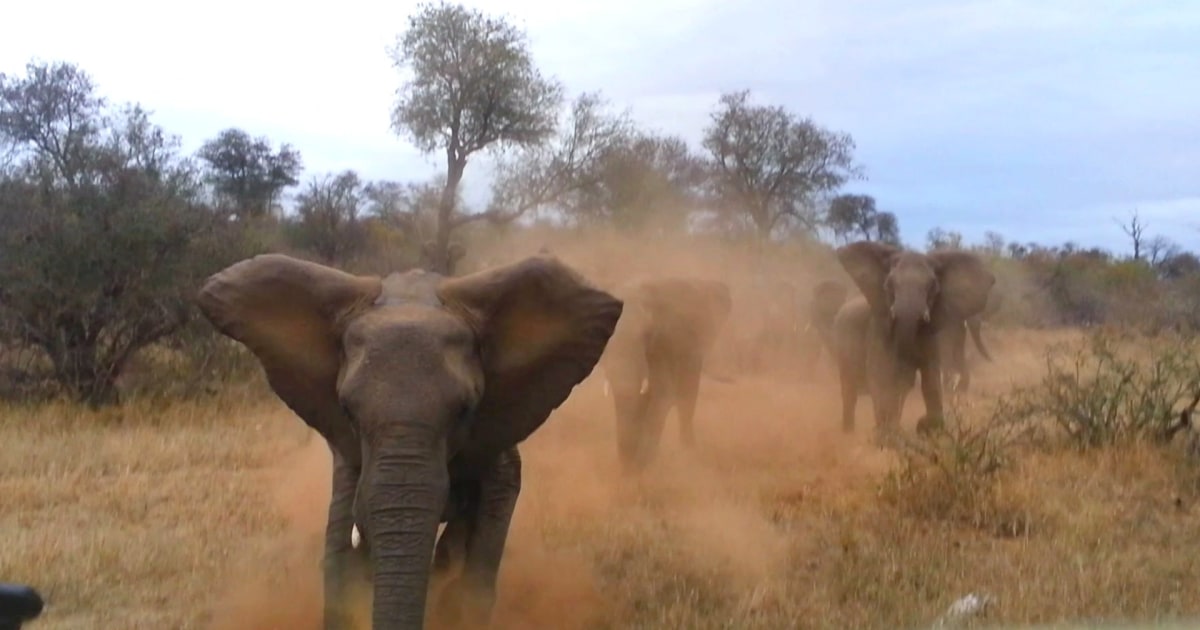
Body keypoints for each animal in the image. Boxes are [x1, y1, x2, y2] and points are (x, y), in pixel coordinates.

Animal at [599, 277, 732, 473]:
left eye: (647, 334)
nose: (626, 469)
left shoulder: (663, 345)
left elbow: (661, 396)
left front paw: (644, 465)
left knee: (687, 398)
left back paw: (688, 452)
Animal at [831, 241, 995, 440]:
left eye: (932, 287)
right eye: (889, 285)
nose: (920, 423)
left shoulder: (931, 336)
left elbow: (931, 379)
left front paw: (926, 426)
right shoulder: (878, 328)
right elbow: (881, 376)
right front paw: (888, 436)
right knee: (849, 393)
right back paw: (849, 433)